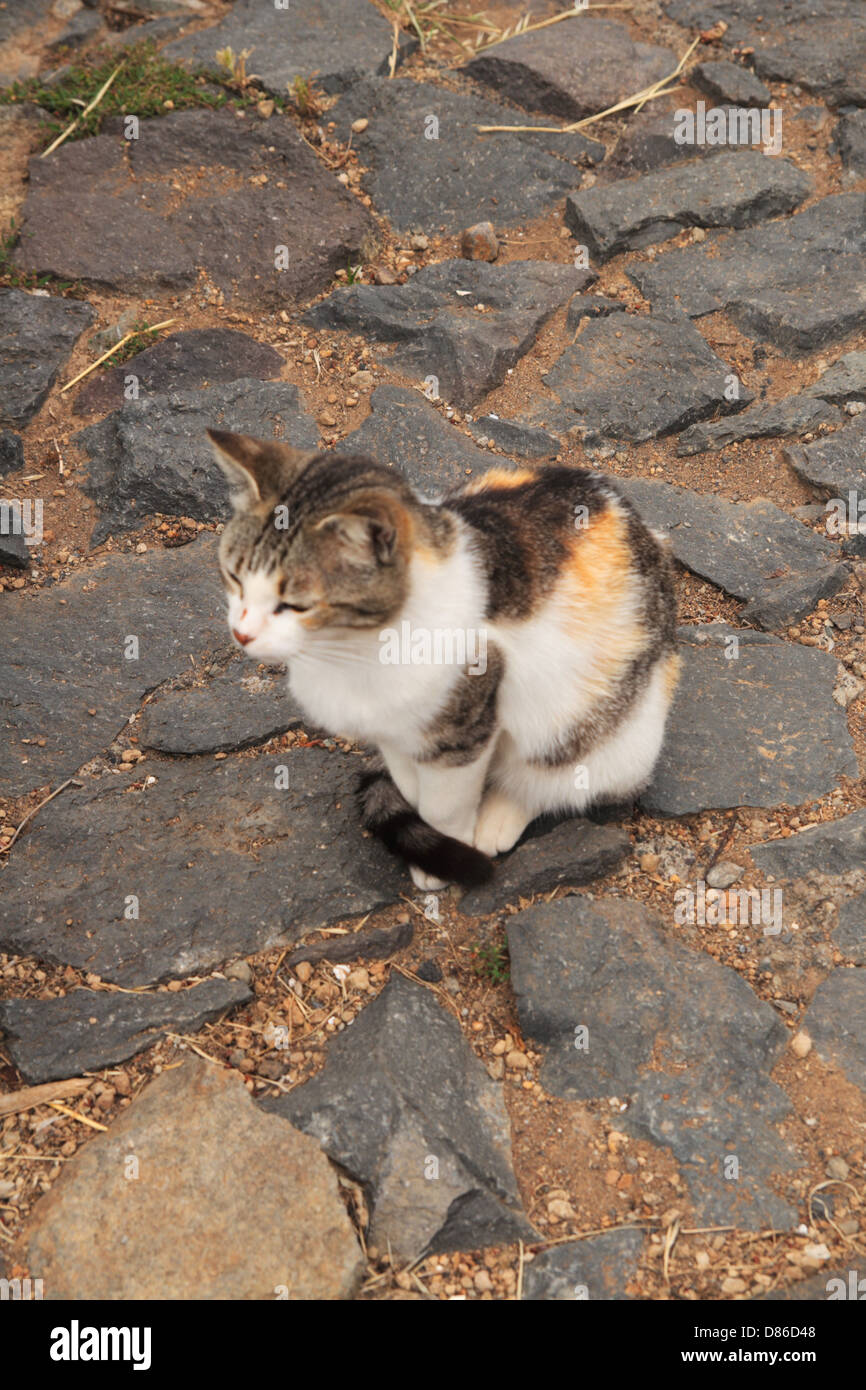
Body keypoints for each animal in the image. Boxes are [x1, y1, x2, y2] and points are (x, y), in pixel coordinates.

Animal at [208, 429, 680, 890]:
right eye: (233, 576)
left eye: (294, 605)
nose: (242, 633)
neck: (348, 653)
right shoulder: (391, 727)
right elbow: (409, 784)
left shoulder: (464, 730)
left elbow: (445, 804)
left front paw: (445, 854)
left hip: (607, 737)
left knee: (553, 776)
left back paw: (502, 816)